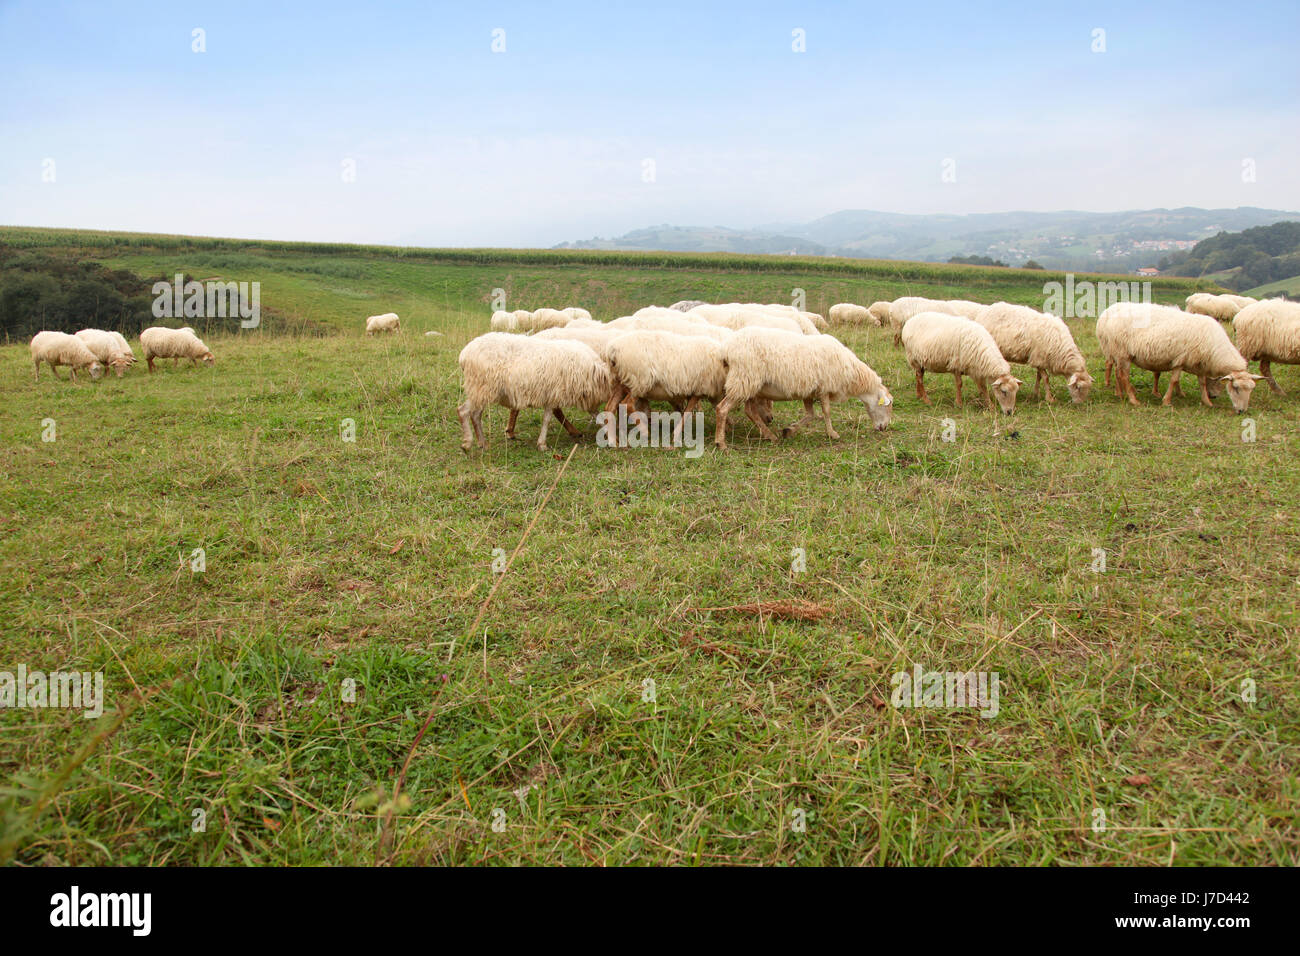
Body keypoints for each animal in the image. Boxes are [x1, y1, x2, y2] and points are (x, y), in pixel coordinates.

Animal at [457, 333, 613, 451]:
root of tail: (464, 354)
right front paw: (542, 444)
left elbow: (598, 416)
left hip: (481, 390)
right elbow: (547, 419)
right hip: (482, 387)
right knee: (463, 411)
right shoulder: (554, 394)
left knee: (475, 414)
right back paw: (467, 443)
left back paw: (482, 443)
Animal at [713, 328, 893, 449]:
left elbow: (810, 414)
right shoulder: (825, 387)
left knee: (750, 411)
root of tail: (726, 349)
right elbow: (826, 412)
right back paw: (721, 443)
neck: (852, 374)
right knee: (722, 408)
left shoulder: (809, 390)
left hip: (750, 385)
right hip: (743, 380)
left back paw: (770, 436)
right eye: (888, 406)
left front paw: (789, 430)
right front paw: (832, 434)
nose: (883, 428)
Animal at [1096, 303, 1260, 412]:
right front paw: (1166, 401)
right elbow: (1174, 380)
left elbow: (1202, 383)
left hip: (1117, 353)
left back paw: (1120, 394)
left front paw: (1207, 402)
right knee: (1123, 375)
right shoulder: (1181, 360)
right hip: (1122, 353)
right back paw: (1133, 399)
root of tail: (1109, 313)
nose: (1242, 411)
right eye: (1236, 388)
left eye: (1251, 390)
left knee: (1118, 372)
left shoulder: (1198, 364)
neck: (1214, 347)